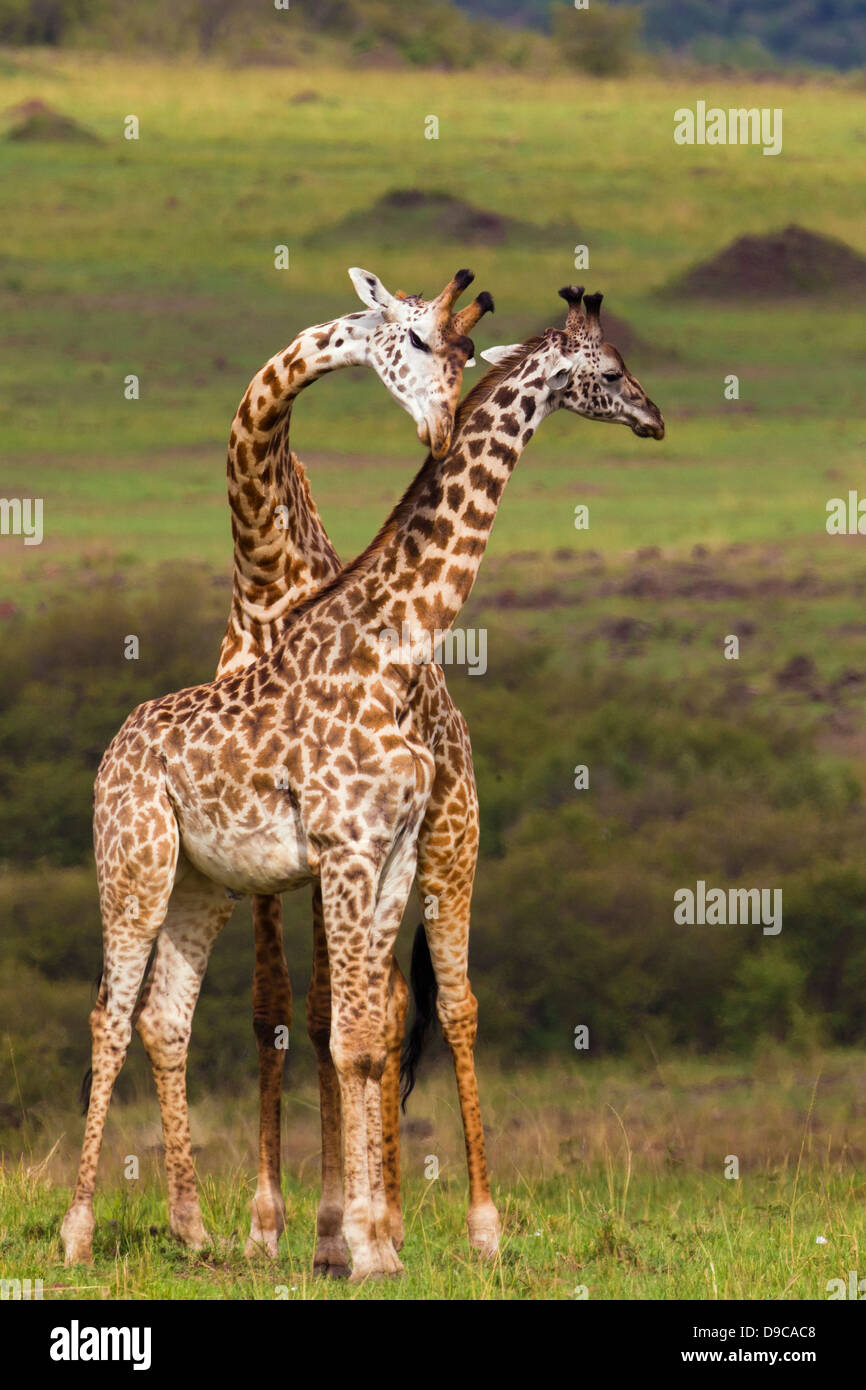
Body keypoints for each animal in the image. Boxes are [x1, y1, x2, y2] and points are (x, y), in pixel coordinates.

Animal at [60, 286, 663, 1279]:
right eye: (611, 370)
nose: (655, 417)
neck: (390, 643)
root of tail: (111, 748)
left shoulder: (390, 855)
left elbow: (371, 1038)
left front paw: (374, 1241)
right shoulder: (344, 851)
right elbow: (338, 1033)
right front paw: (359, 1246)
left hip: (206, 884)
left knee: (167, 1016)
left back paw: (195, 1231)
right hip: (134, 865)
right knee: (110, 1015)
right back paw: (77, 1232)